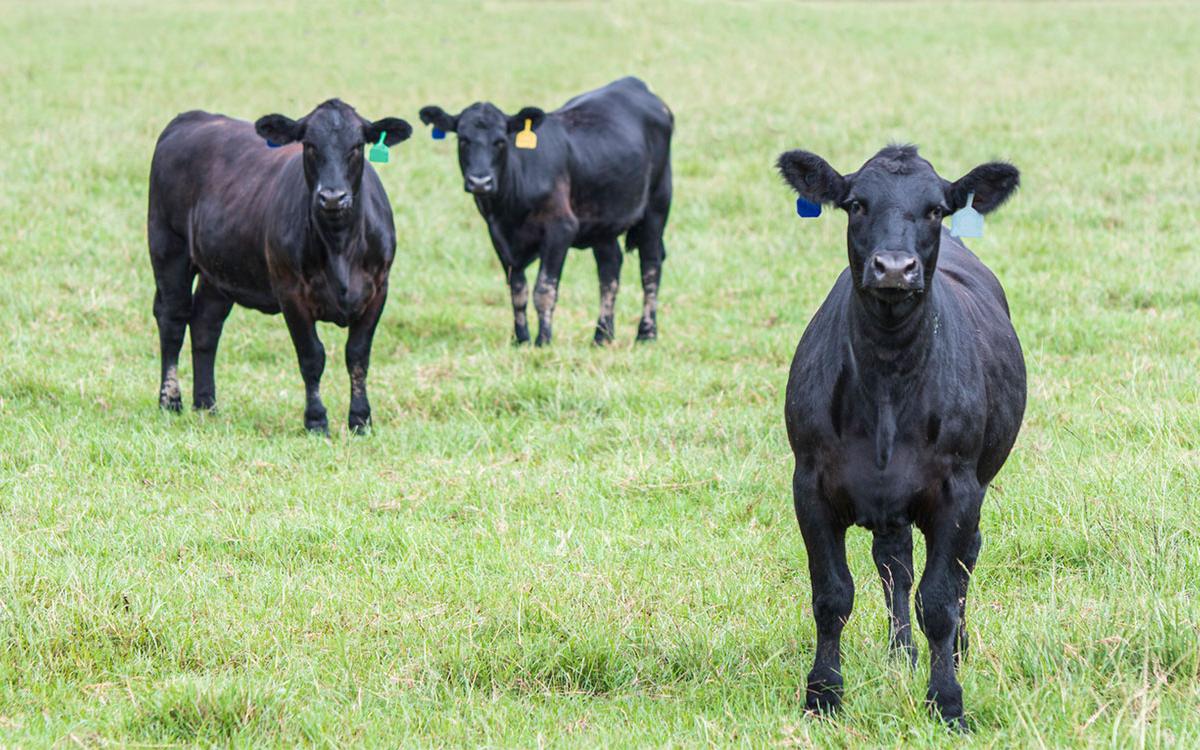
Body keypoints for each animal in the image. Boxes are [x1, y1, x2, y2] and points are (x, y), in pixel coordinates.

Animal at [147, 99, 412, 433]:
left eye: (357, 146)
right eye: (309, 145)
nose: (332, 197)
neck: (340, 245)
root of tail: (190, 118)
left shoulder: (378, 289)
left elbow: (358, 356)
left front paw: (360, 420)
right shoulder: (290, 292)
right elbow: (312, 356)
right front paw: (316, 420)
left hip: (221, 269)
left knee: (206, 323)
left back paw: (206, 404)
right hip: (168, 246)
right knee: (173, 318)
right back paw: (170, 401)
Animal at [418, 76, 673, 346]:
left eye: (501, 141)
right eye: (463, 140)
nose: (479, 181)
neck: (509, 209)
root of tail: (633, 83)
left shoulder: (560, 228)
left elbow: (544, 290)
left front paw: (543, 341)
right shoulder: (499, 235)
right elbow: (517, 290)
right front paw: (521, 340)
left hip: (657, 205)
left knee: (650, 267)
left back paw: (646, 333)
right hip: (602, 221)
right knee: (609, 269)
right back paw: (602, 336)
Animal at [776, 144, 1025, 728]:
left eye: (935, 208)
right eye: (856, 204)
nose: (894, 267)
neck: (887, 381)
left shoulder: (959, 489)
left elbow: (939, 600)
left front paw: (948, 700)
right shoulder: (810, 485)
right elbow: (832, 596)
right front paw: (823, 694)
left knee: (962, 564)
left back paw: (954, 652)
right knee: (894, 566)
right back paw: (902, 653)